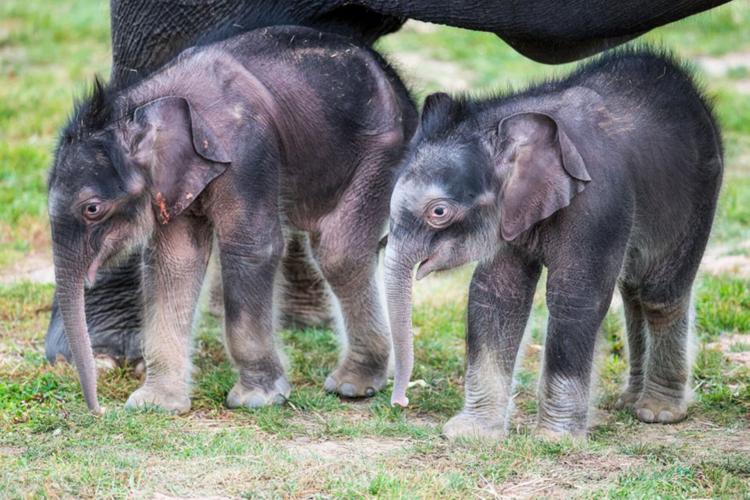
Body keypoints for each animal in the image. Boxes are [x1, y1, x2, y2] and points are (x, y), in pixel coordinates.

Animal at [48, 24, 416, 414]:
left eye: (92, 209)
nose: (100, 410)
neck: (147, 102)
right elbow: (174, 262)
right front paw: (155, 405)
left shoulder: (245, 153)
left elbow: (252, 248)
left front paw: (257, 400)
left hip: (383, 152)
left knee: (339, 251)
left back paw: (352, 386)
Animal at [383, 48, 723, 439]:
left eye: (439, 211)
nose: (401, 402)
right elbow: (497, 294)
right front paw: (471, 433)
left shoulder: (599, 202)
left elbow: (573, 295)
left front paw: (554, 438)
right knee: (633, 290)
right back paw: (628, 402)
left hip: (700, 192)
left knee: (659, 293)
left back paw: (658, 412)